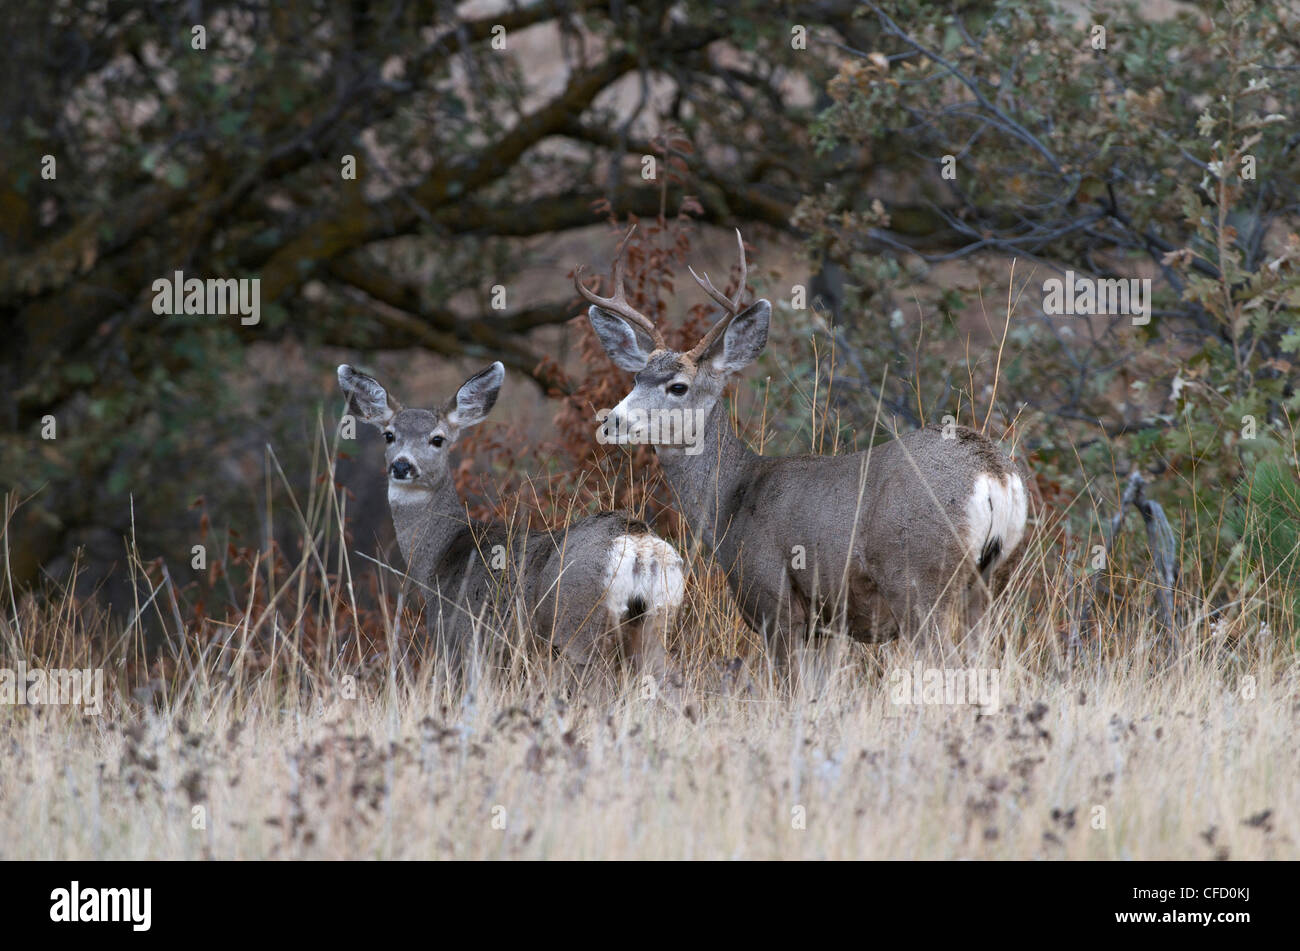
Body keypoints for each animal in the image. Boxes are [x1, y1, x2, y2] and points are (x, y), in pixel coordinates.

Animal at [337, 361, 685, 690]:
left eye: (437, 439)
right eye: (389, 435)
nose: (402, 465)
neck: (440, 557)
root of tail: (638, 542)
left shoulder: (462, 637)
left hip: (576, 623)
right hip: (657, 619)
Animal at [578, 228, 1028, 669]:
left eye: (678, 387)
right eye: (636, 378)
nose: (611, 420)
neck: (732, 501)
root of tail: (993, 473)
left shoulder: (772, 597)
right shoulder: (827, 624)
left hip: (918, 577)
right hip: (995, 578)